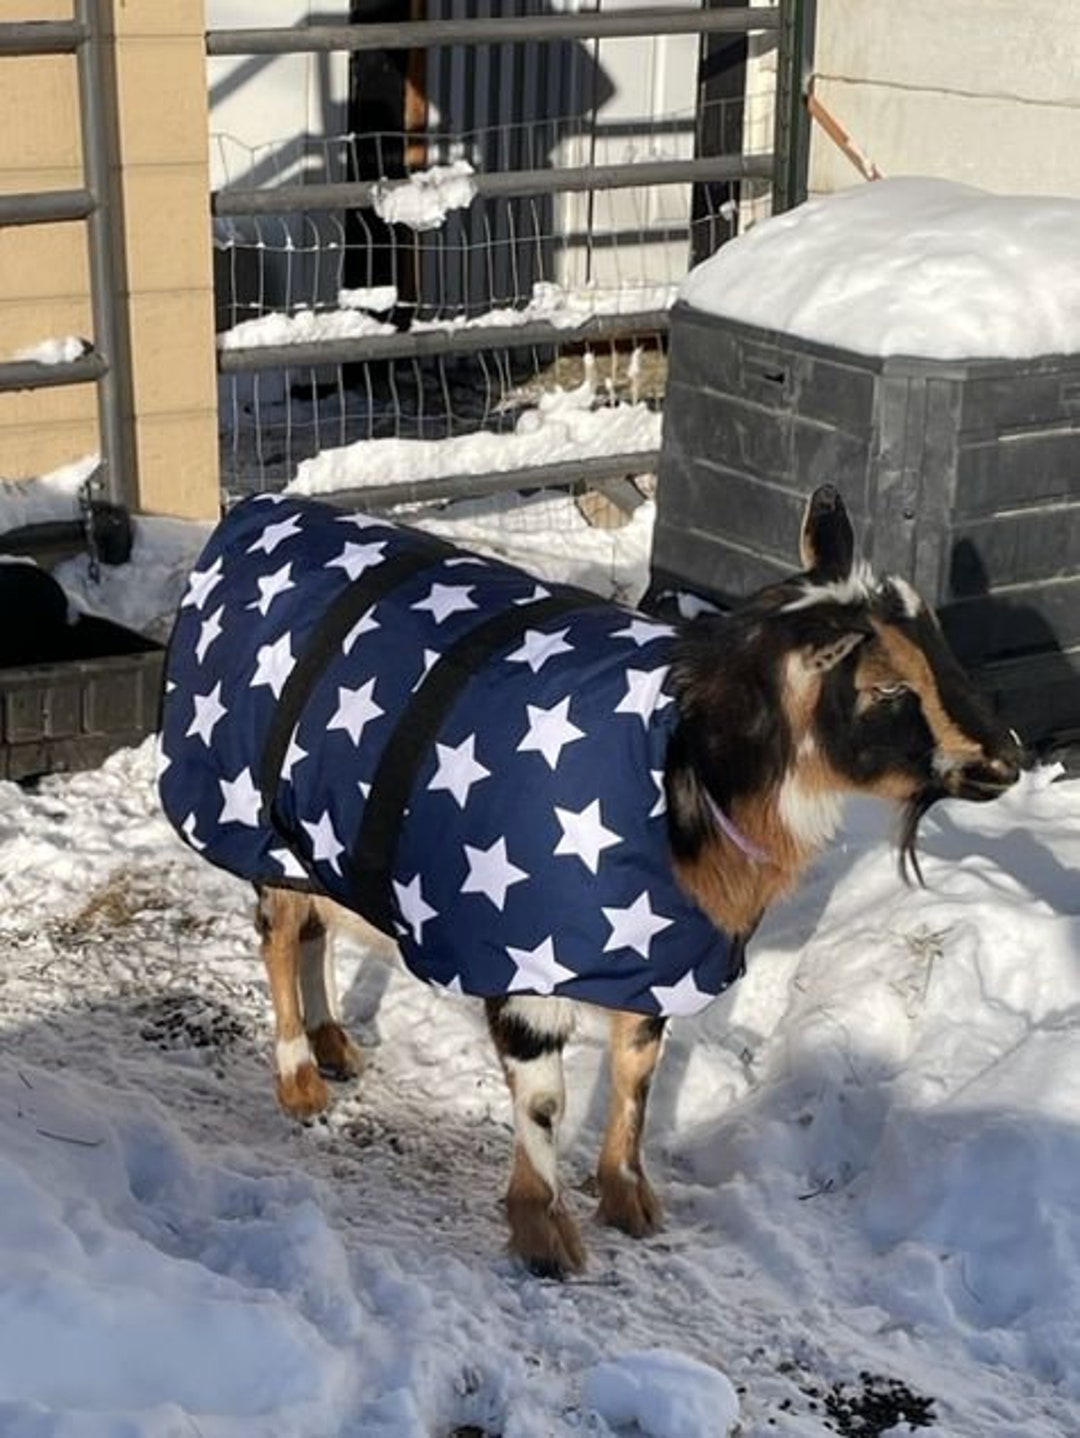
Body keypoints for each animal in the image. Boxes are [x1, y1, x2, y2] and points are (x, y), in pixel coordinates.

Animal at [158, 485, 1022, 1277]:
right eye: (885, 689)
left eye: (940, 646)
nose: (1005, 758)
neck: (678, 768)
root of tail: (258, 508)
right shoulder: (525, 959)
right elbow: (545, 1101)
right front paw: (545, 1236)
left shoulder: (651, 959)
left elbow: (637, 1073)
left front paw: (629, 1200)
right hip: (251, 808)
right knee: (278, 934)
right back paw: (301, 1080)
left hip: (315, 830)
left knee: (315, 921)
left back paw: (335, 1042)